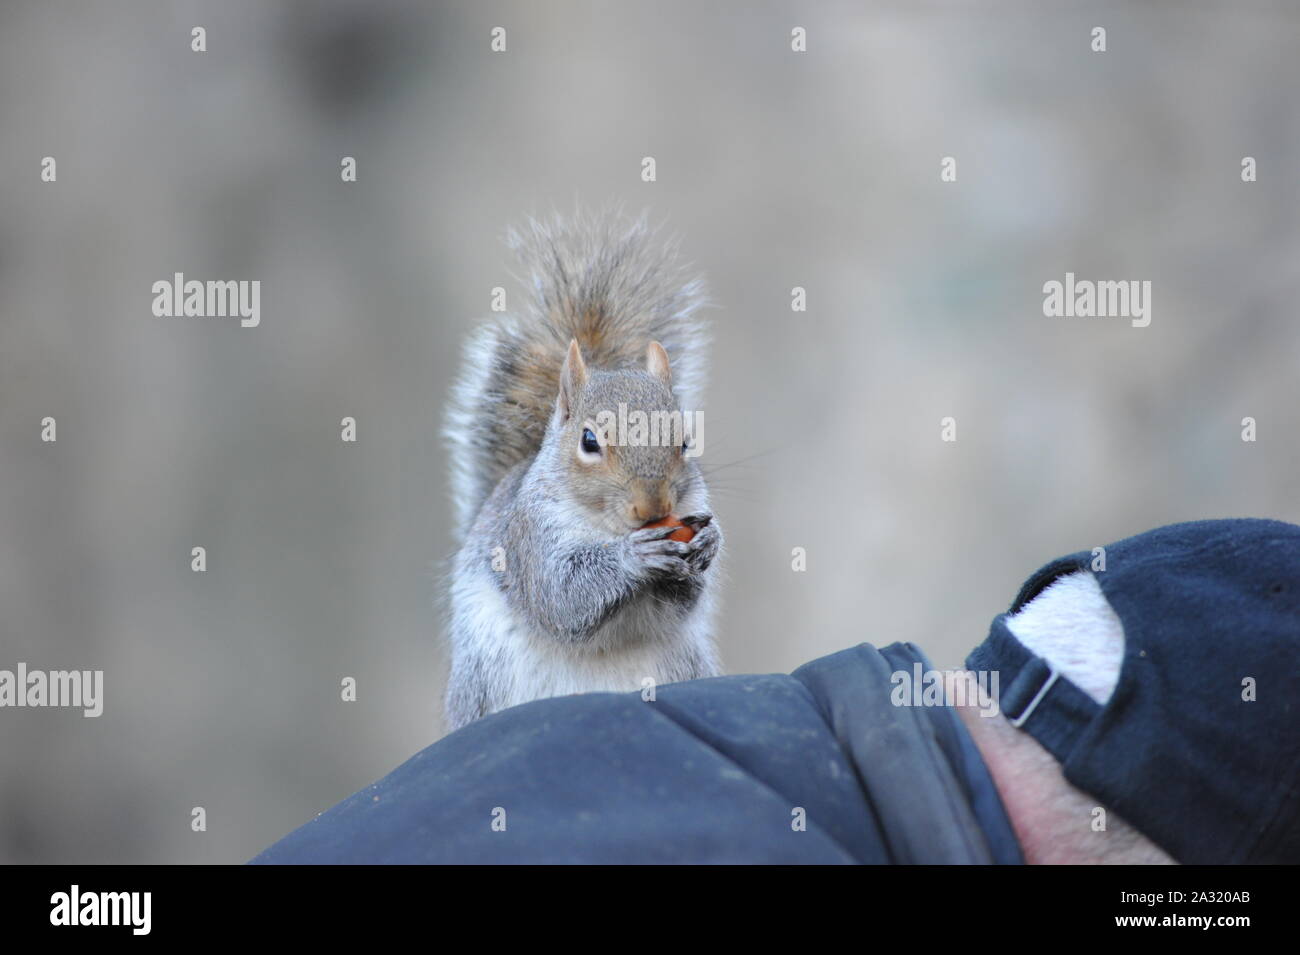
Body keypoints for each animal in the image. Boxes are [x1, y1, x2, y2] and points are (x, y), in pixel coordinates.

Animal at [442, 210, 724, 731]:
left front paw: (709, 543)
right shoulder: (530, 538)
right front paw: (633, 557)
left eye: (685, 440)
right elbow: (563, 597)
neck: (606, 528)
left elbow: (682, 603)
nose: (653, 506)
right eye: (589, 441)